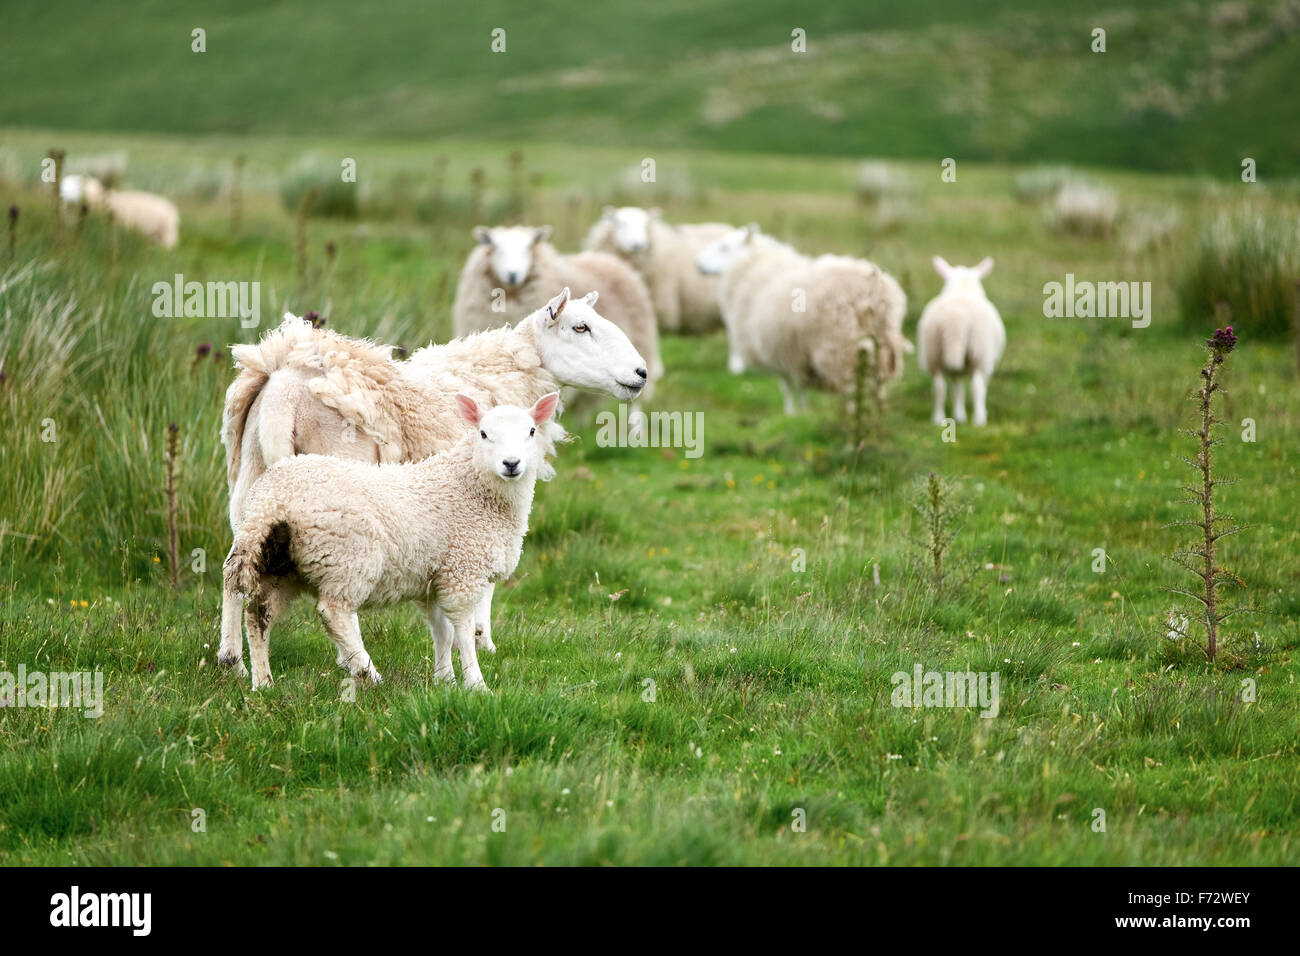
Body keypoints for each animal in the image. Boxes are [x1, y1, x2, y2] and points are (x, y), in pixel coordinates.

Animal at [224, 392, 560, 692]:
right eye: (484, 433)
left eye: (531, 431)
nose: (511, 463)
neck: (470, 487)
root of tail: (271, 501)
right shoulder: (462, 572)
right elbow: (463, 632)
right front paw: (476, 685)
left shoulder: (434, 575)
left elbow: (442, 632)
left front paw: (445, 681)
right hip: (345, 557)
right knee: (333, 612)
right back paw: (367, 672)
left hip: (280, 563)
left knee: (258, 614)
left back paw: (263, 683)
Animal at [695, 224, 911, 414]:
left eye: (724, 247)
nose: (698, 265)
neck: (753, 265)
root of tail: (878, 292)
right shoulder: (794, 351)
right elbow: (799, 386)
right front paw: (804, 413)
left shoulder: (780, 351)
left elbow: (789, 388)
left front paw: (793, 414)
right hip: (882, 343)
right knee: (878, 382)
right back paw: (878, 412)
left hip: (839, 344)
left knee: (852, 383)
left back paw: (853, 415)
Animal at [916, 257, 1006, 427]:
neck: (962, 289)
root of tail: (956, 318)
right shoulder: (986, 363)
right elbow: (978, 387)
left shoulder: (955, 370)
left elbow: (957, 389)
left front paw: (959, 414)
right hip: (980, 351)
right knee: (977, 386)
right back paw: (979, 419)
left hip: (934, 351)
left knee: (939, 386)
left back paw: (939, 418)